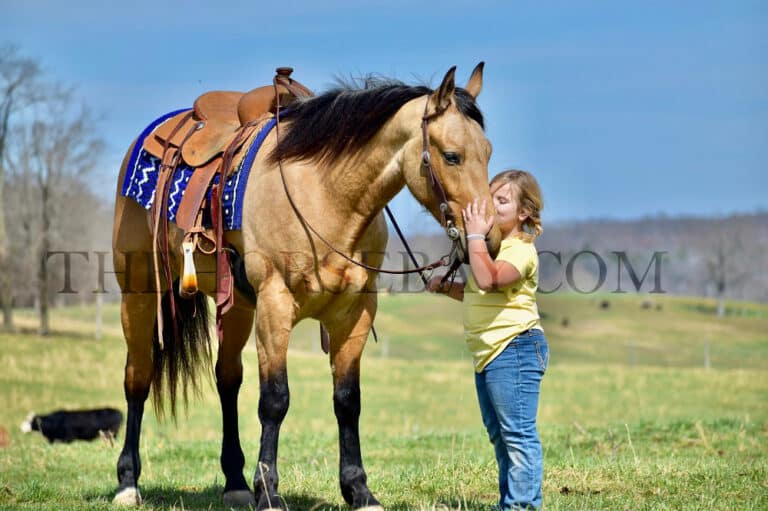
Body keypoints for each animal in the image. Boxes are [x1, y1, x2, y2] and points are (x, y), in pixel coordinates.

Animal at [111, 63, 502, 510]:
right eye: (452, 156)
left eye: (487, 153)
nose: (489, 238)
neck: (326, 195)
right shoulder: (275, 305)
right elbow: (274, 400)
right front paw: (269, 491)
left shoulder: (354, 314)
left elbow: (348, 401)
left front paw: (358, 489)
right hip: (139, 294)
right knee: (138, 379)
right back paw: (128, 483)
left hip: (238, 307)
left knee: (227, 381)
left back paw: (235, 482)